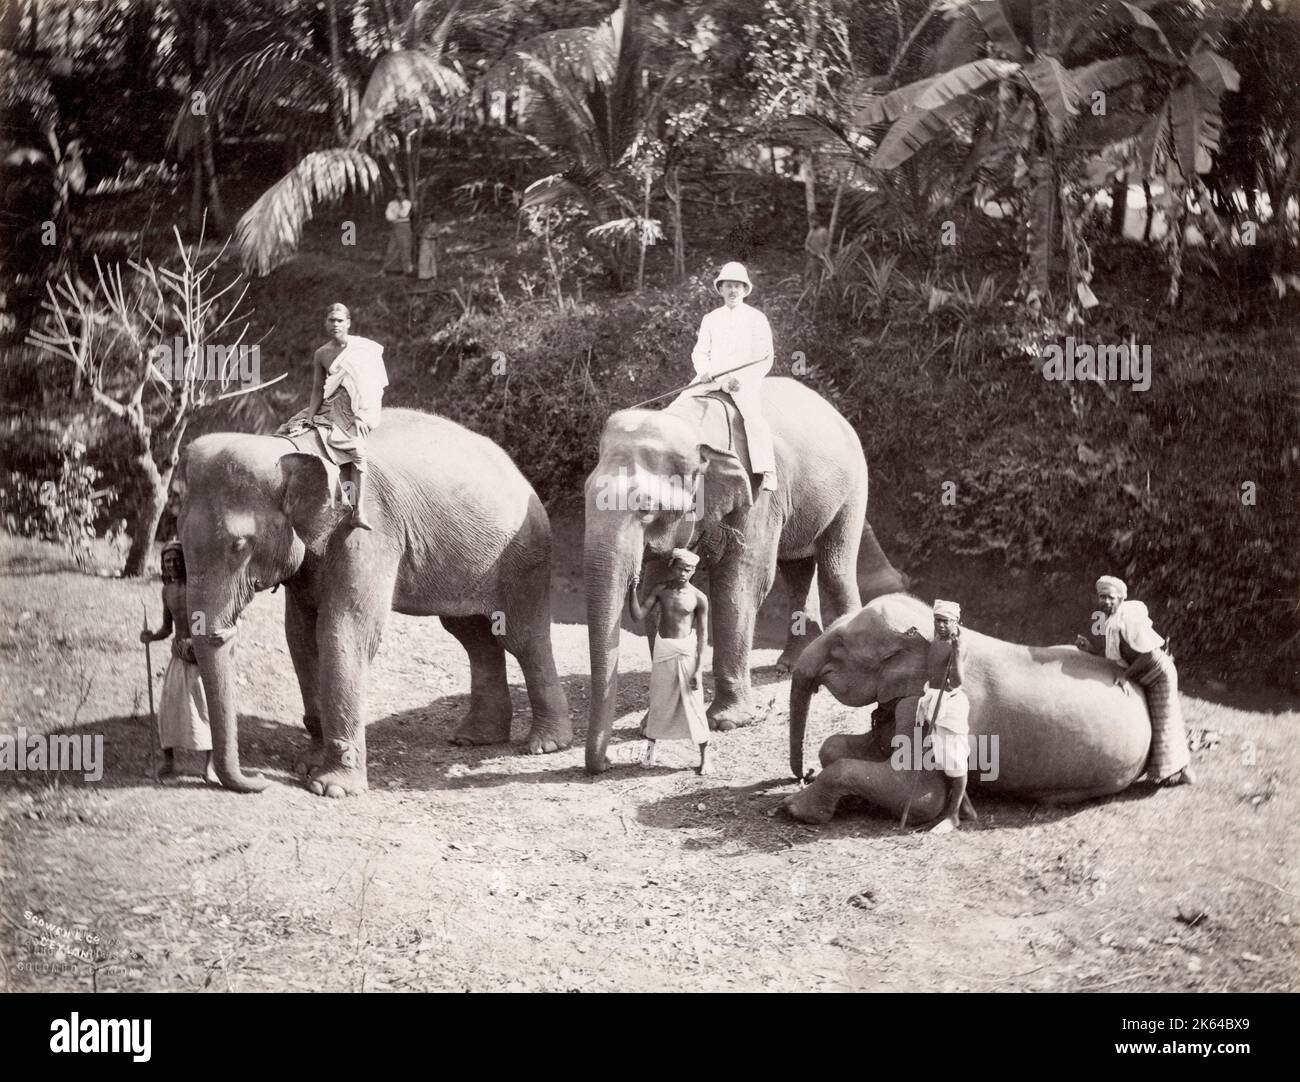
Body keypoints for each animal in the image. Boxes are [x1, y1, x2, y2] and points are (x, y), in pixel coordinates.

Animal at [177, 407, 571, 796]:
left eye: (239, 546)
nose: (257, 781)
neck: (293, 448)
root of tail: (519, 472)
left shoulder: (367, 528)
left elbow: (343, 631)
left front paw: (330, 788)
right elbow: (300, 636)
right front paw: (305, 766)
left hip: (525, 556)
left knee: (521, 636)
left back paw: (545, 744)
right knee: (472, 636)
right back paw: (473, 739)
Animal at [583, 375, 902, 774]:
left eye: (647, 509)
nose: (607, 762)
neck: (694, 427)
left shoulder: (760, 490)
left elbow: (743, 580)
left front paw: (726, 723)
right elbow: (661, 581)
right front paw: (650, 722)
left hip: (852, 486)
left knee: (834, 565)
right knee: (797, 567)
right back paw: (791, 664)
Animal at [783, 594, 1156, 824]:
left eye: (838, 646)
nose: (803, 775)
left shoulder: (923, 706)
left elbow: (921, 796)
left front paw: (793, 808)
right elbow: (837, 746)